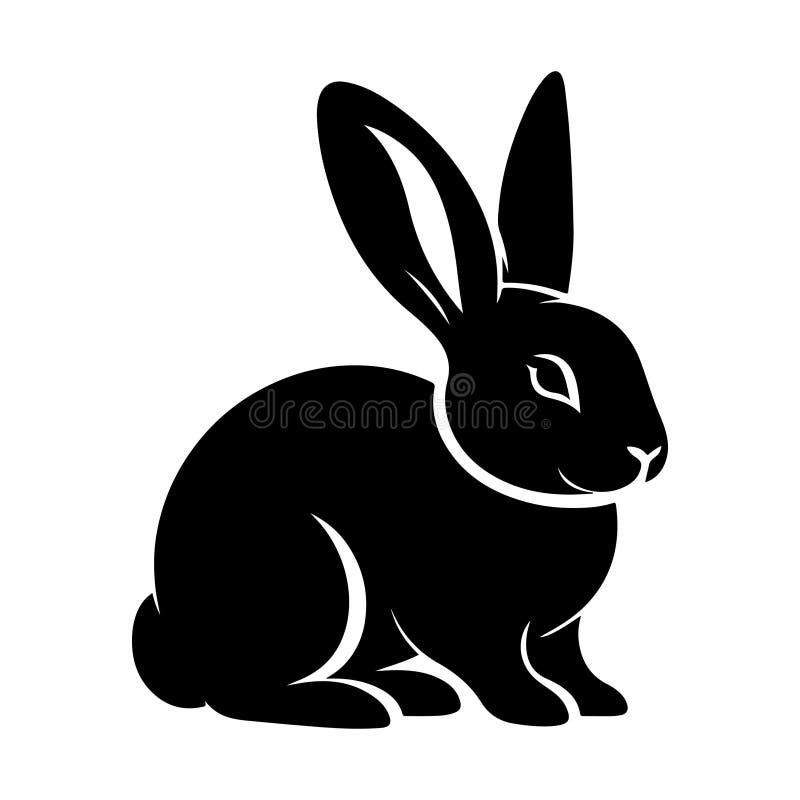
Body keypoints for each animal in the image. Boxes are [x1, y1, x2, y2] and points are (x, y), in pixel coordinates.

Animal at [132, 72, 667, 728]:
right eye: (546, 375)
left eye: (627, 347)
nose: (647, 452)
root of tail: (177, 634)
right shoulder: (459, 611)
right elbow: (492, 660)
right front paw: (536, 709)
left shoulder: (560, 631)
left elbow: (567, 657)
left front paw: (600, 701)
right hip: (305, 577)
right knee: (241, 693)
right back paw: (354, 707)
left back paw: (417, 694)